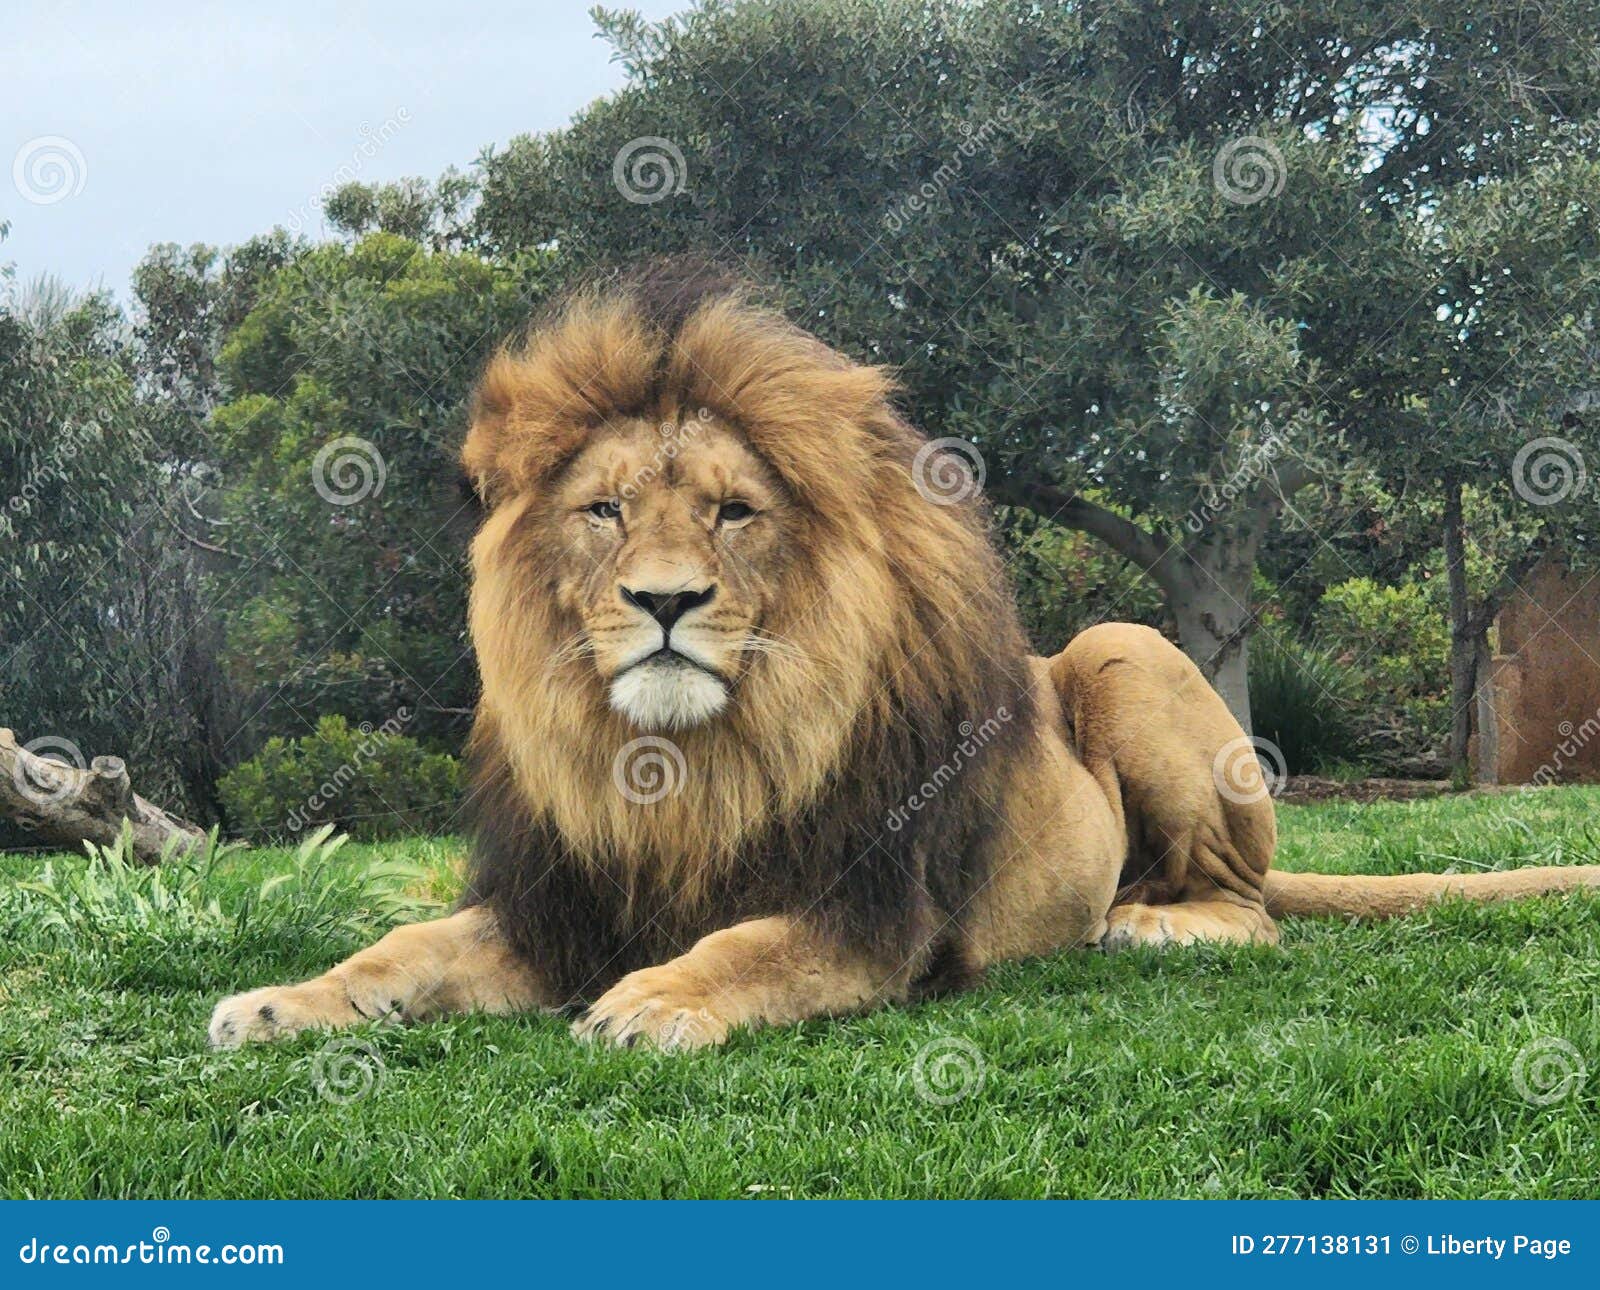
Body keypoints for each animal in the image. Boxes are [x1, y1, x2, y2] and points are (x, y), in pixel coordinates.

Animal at [209, 267, 1600, 1051]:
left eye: (733, 511)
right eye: (603, 510)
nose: (665, 601)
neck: (680, 763)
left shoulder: (874, 915)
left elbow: (747, 946)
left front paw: (655, 1000)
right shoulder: (560, 906)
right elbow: (403, 952)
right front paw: (279, 1003)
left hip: (1123, 648)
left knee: (1249, 907)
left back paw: (1154, 923)